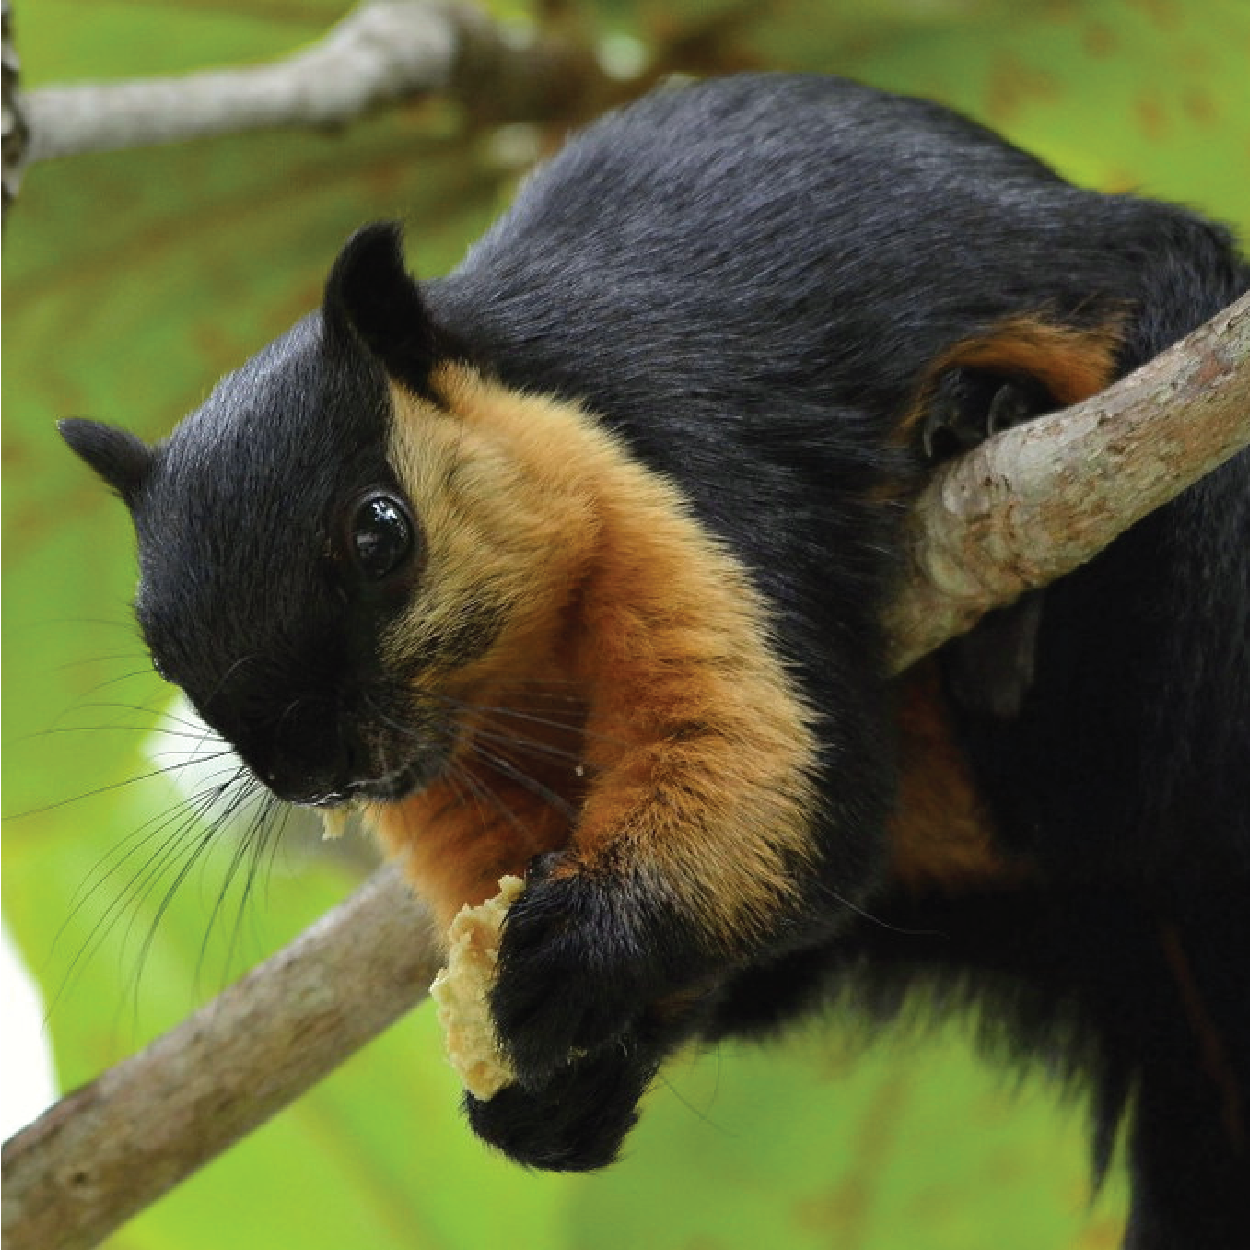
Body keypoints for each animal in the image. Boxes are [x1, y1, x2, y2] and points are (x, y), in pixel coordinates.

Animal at [61, 74, 1249, 1245]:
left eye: (378, 531)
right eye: (157, 645)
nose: (314, 771)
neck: (522, 662)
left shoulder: (686, 483)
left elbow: (775, 791)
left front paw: (588, 942)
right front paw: (552, 1081)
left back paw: (990, 491)